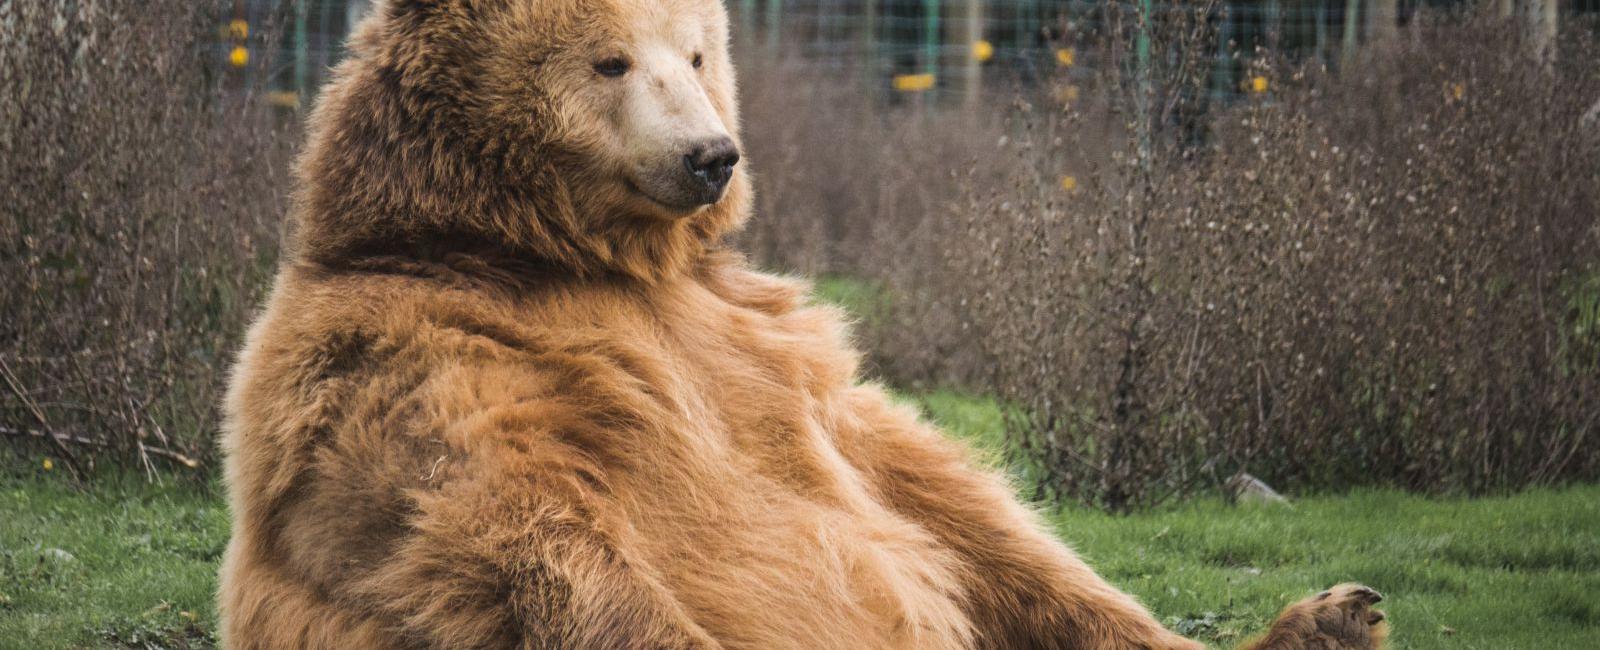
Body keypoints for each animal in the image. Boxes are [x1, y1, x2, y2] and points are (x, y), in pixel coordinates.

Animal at [217, 0, 1388, 648]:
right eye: (608, 59)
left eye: (694, 52)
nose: (712, 154)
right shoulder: (418, 354)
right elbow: (511, 529)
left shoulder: (759, 342)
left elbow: (937, 492)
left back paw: (1331, 617)